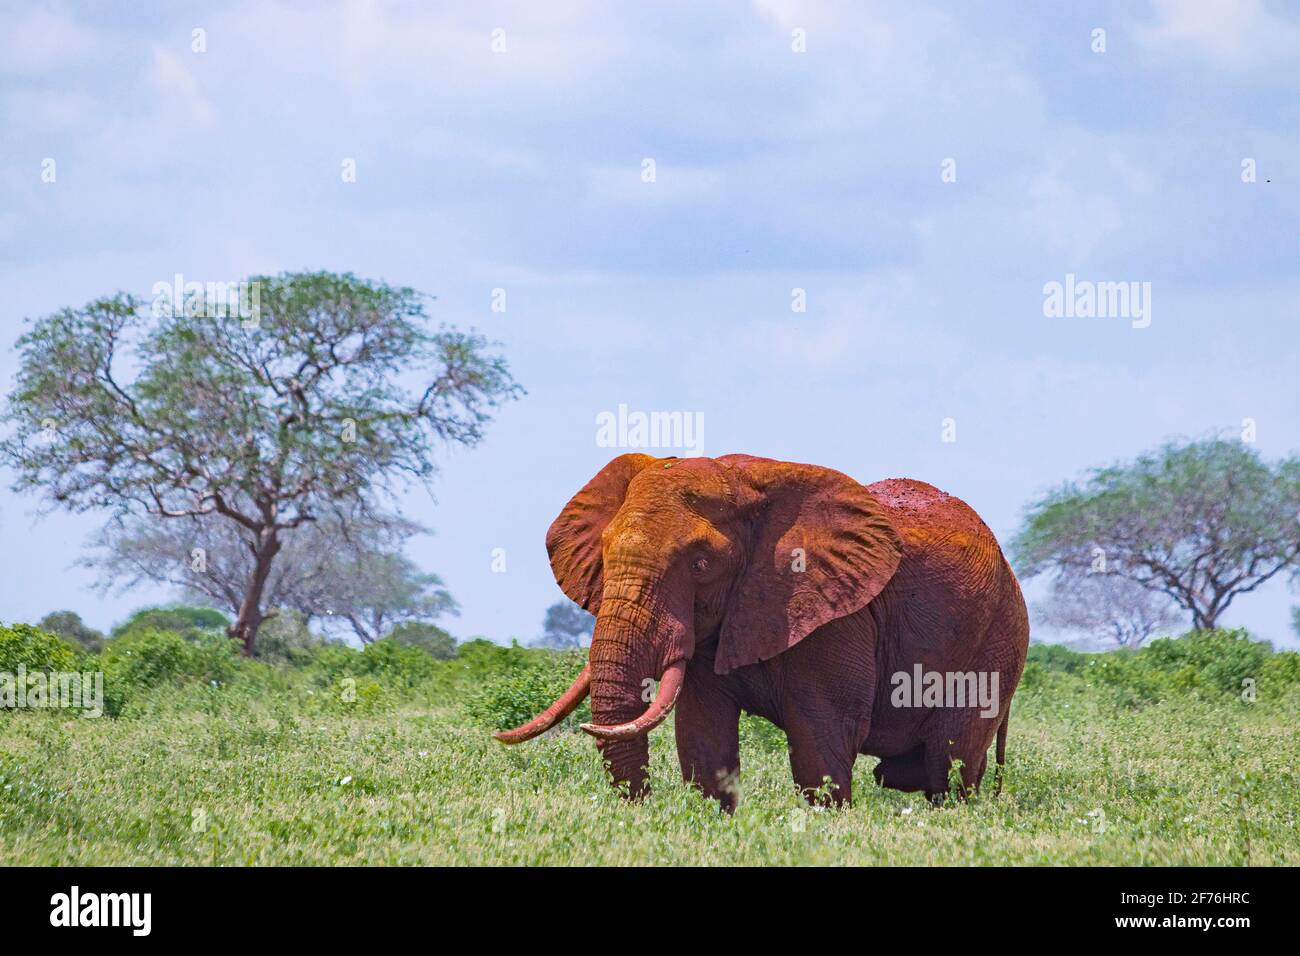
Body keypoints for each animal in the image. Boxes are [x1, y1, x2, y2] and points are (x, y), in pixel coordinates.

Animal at [494, 453, 1030, 811]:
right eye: (604, 557)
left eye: (701, 564)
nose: (642, 807)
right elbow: (702, 738)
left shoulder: (836, 618)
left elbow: (822, 742)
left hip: (998, 642)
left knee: (950, 764)